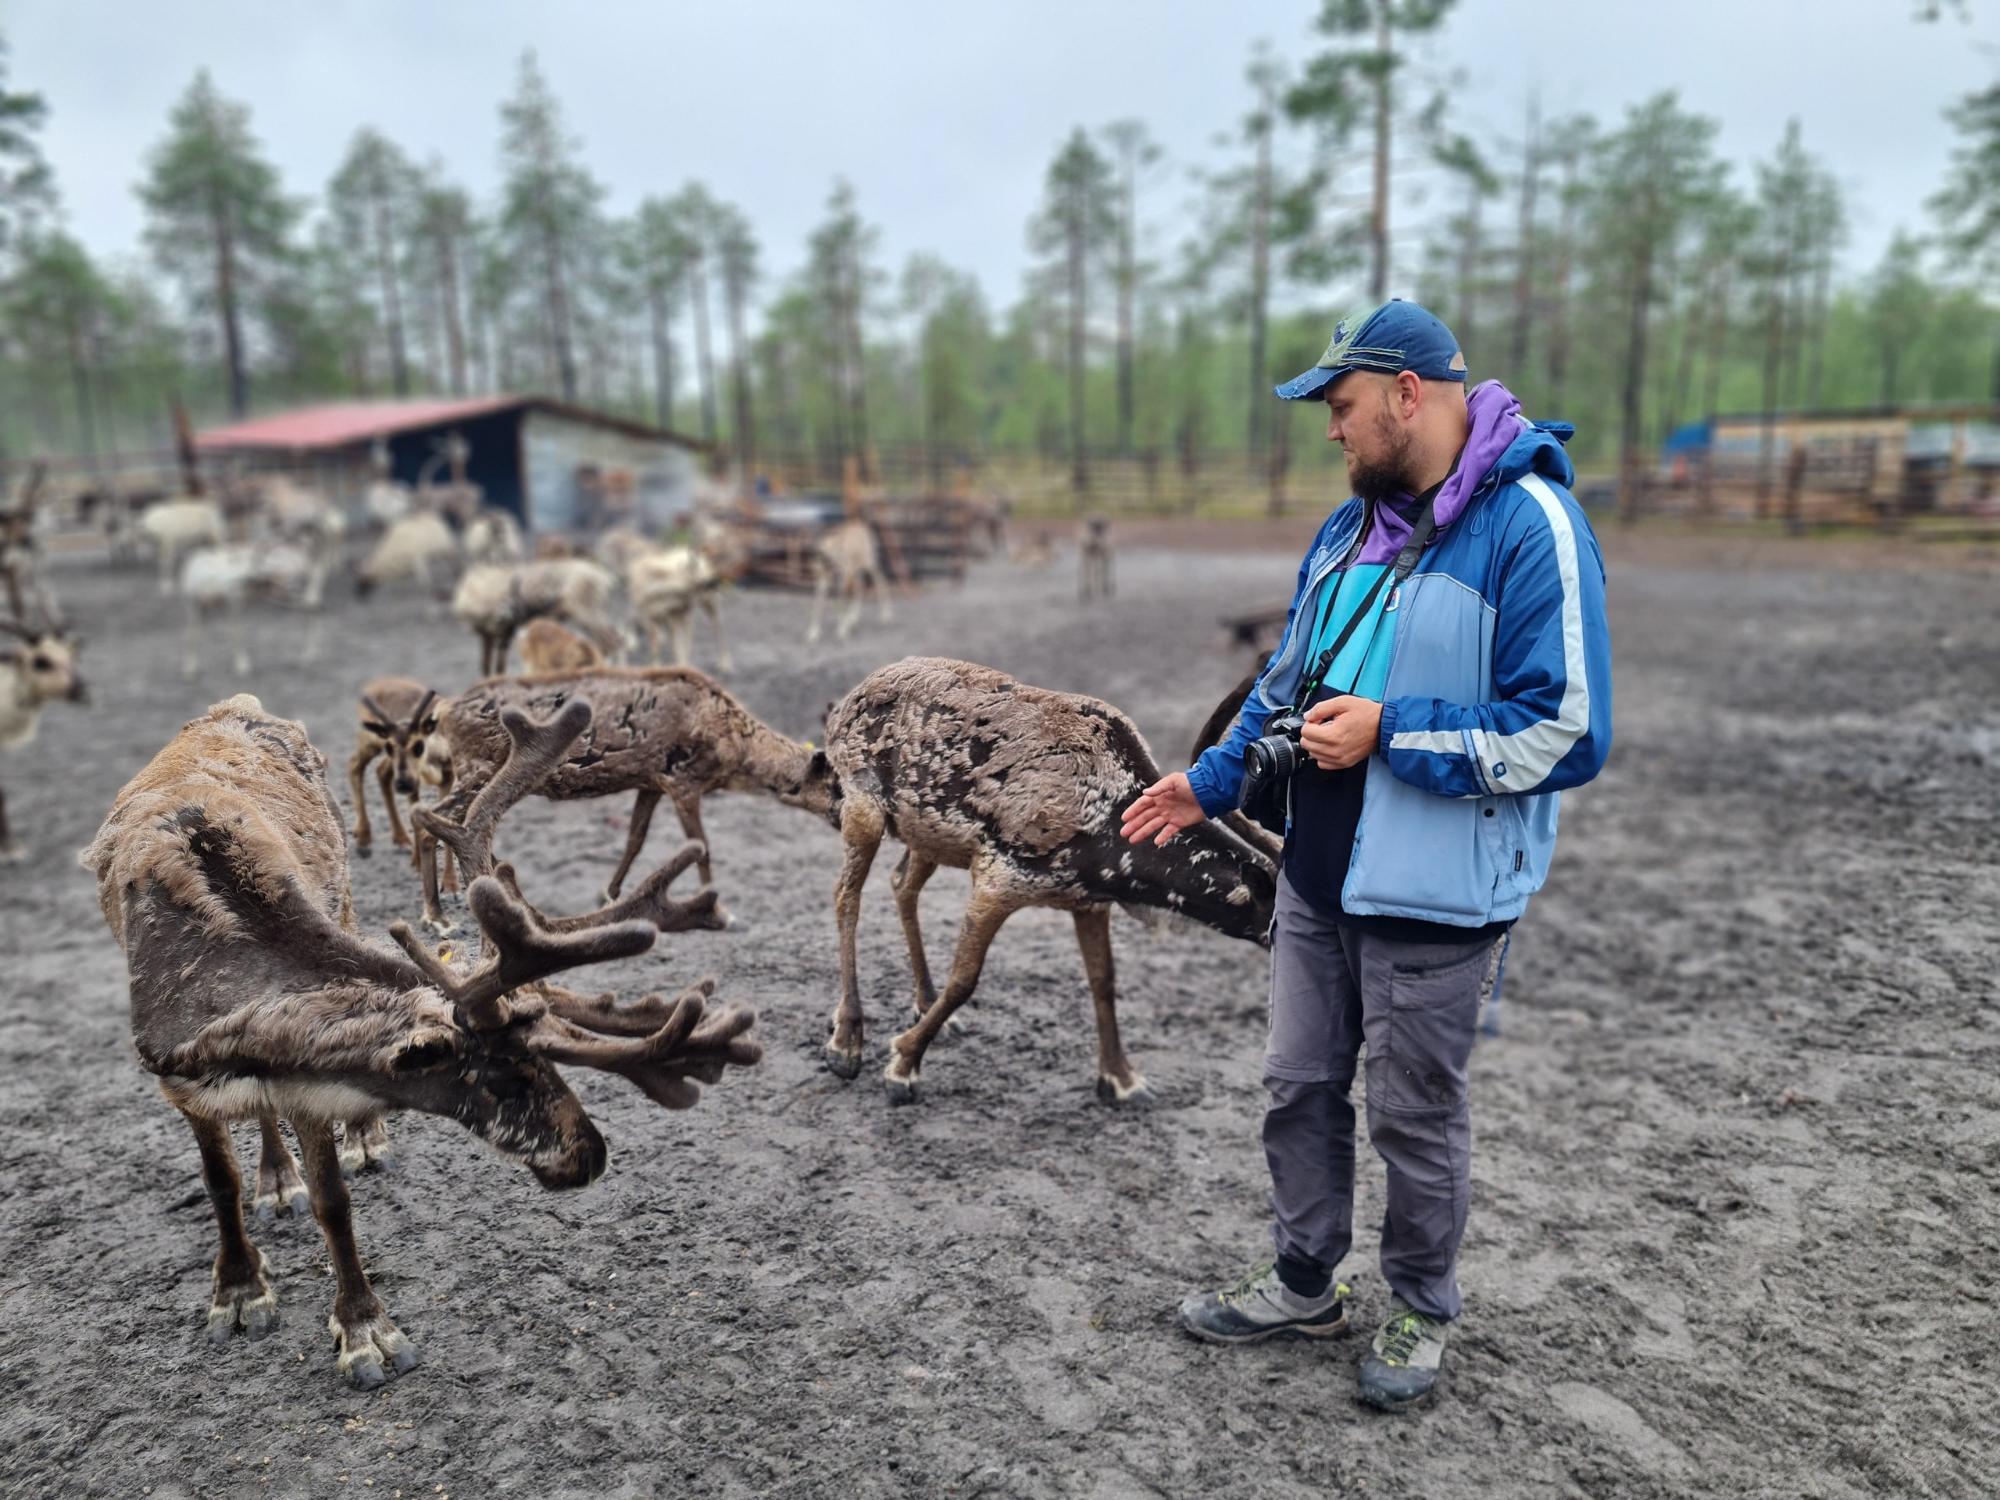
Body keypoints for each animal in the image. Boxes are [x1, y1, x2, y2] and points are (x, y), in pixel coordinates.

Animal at [84, 700, 756, 1392]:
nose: (591, 1154)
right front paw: (241, 1289)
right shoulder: (179, 1080)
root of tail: (238, 706)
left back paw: (348, 1146)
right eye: (501, 1078)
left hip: (343, 889)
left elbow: (332, 1201)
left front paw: (363, 1328)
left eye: (546, 1060)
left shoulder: (304, 1084)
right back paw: (276, 1178)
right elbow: (221, 1182)